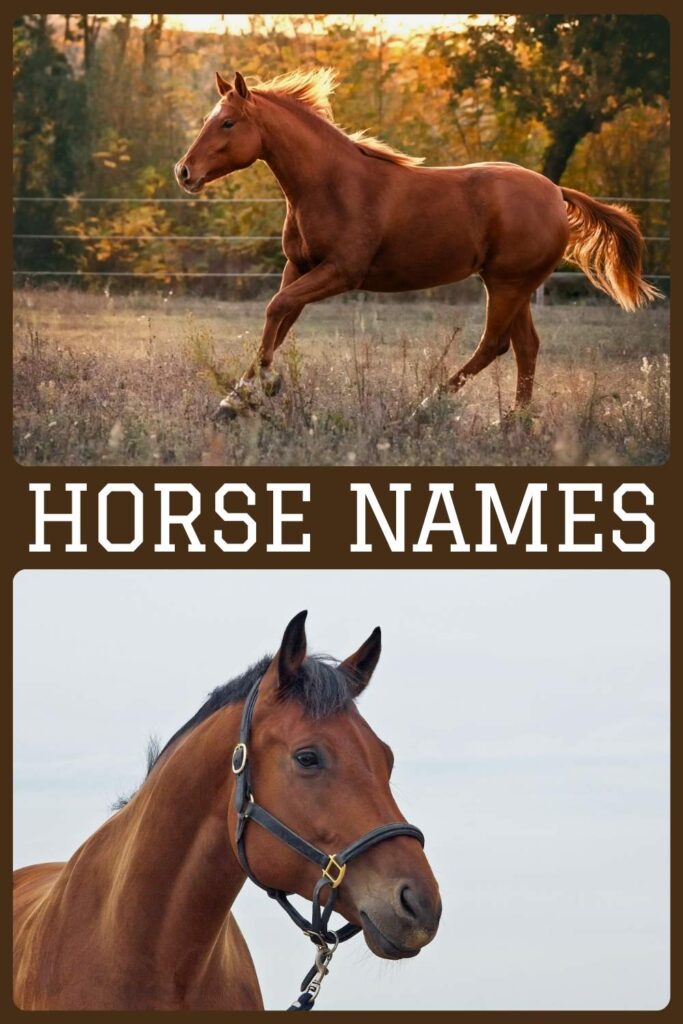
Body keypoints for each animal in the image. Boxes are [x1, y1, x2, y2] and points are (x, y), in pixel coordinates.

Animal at [174, 67, 659, 422]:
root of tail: (557, 193)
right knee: (525, 347)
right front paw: (234, 401)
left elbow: (277, 309)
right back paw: (512, 422)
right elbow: (279, 318)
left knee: (494, 344)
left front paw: (261, 388)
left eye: (228, 122)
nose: (184, 172)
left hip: (507, 284)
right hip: (514, 286)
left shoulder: (342, 272)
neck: (331, 184)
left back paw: (424, 408)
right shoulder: (299, 267)